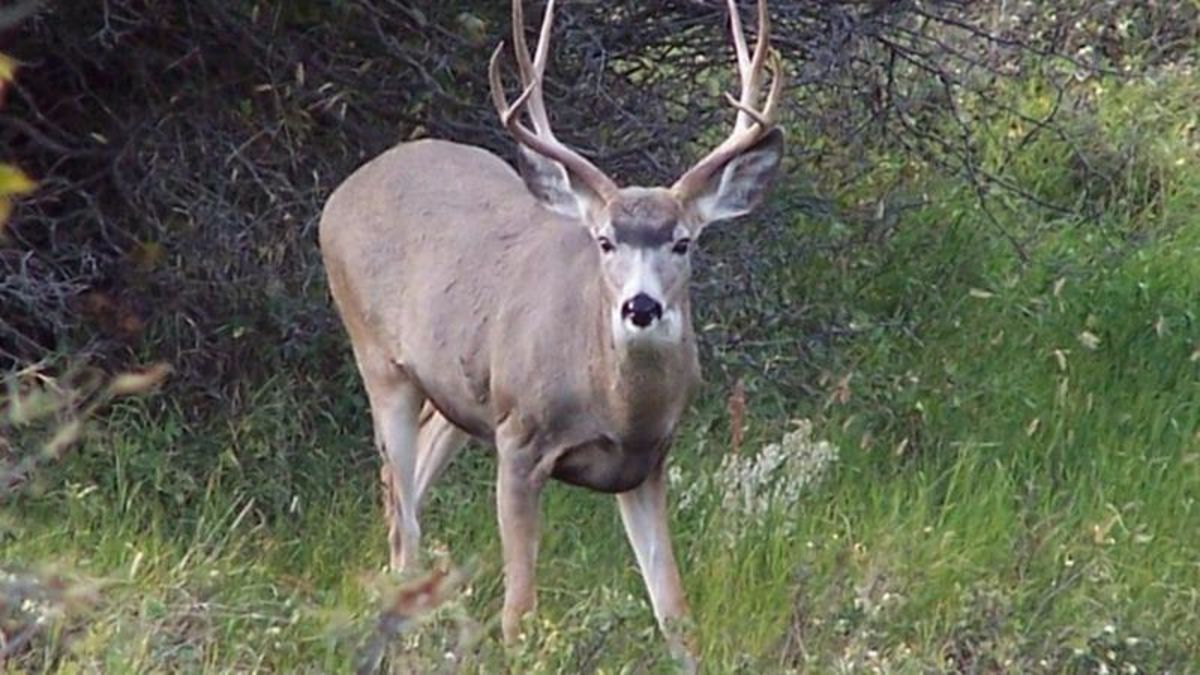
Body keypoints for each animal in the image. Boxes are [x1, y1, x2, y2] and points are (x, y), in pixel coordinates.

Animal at [318, 0, 783, 668]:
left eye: (683, 242)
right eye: (605, 241)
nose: (641, 306)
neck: (615, 405)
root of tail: (343, 192)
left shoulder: (647, 462)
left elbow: (675, 611)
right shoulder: (520, 439)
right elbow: (519, 611)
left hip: (460, 393)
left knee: (410, 485)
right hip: (378, 358)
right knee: (400, 507)